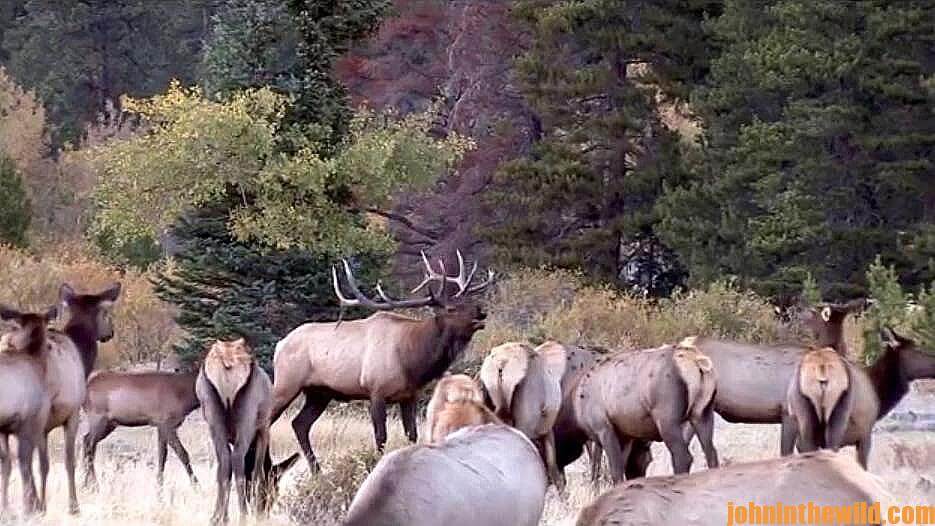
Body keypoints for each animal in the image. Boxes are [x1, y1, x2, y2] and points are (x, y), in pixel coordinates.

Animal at [0, 305, 57, 515]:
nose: (51, 346)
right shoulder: (30, 424)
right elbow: (25, 464)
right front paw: (29, 507)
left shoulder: (5, 429)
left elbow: (7, 465)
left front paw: (6, 507)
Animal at [270, 250, 493, 470]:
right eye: (451, 308)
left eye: (468, 300)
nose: (481, 312)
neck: (412, 362)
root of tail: (279, 345)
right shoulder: (376, 390)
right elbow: (381, 437)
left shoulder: (409, 396)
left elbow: (412, 435)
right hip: (286, 384)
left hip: (319, 393)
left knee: (300, 424)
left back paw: (317, 471)